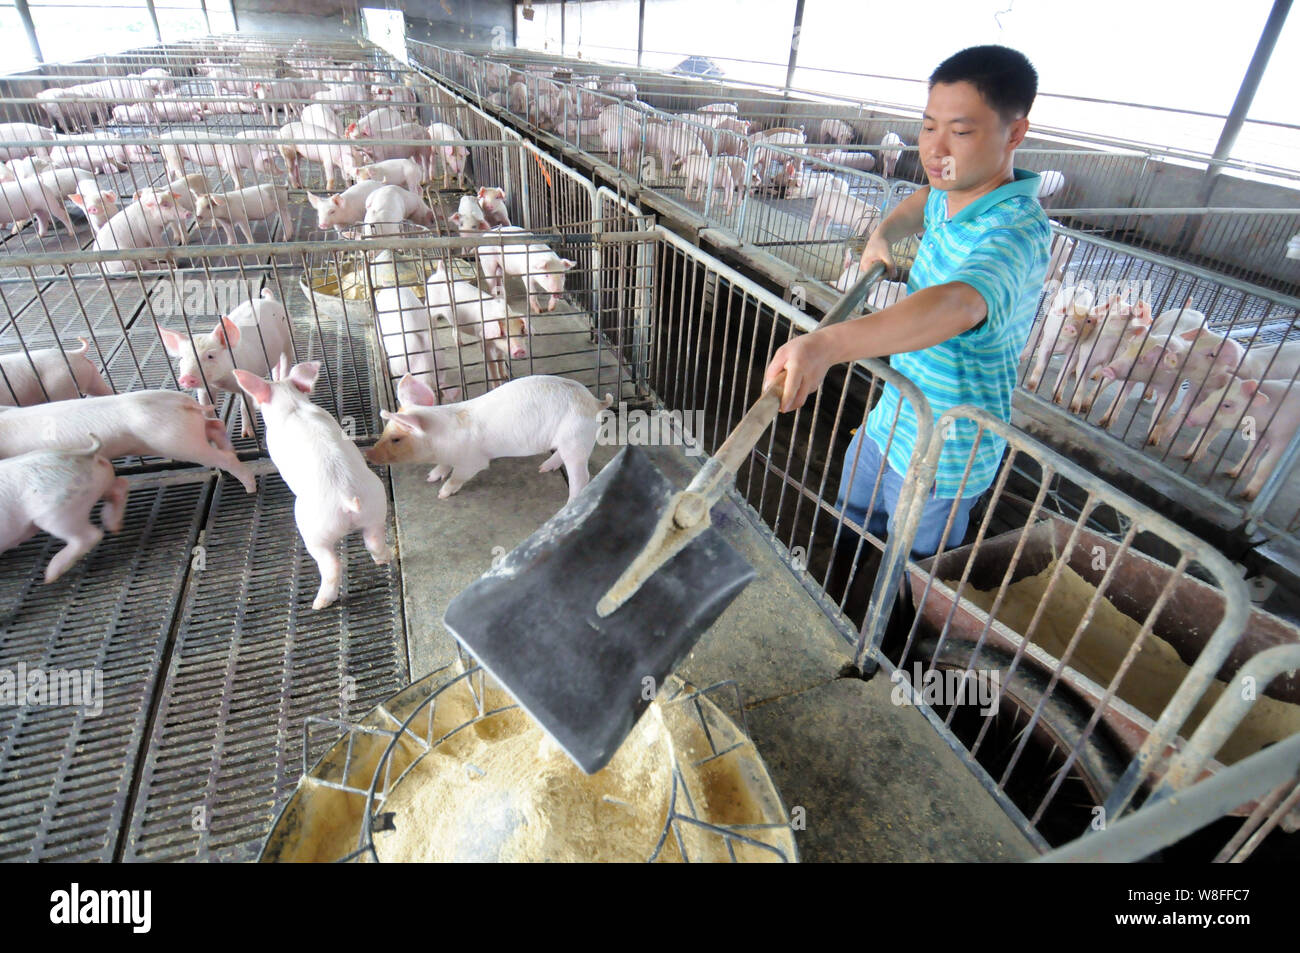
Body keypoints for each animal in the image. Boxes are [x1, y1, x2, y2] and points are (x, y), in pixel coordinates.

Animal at [0, 387, 256, 494]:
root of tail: (184, 402)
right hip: (191, 429)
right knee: (216, 426)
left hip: (178, 441)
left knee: (222, 457)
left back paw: (249, 487)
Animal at [0, 436, 129, 582]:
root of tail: (84, 454)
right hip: (100, 484)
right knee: (121, 486)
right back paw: (114, 526)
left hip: (59, 513)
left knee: (89, 536)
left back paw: (49, 576)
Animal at [235, 356, 390, 608]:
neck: (292, 405)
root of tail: (346, 497)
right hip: (375, 511)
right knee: (374, 542)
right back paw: (384, 560)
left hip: (315, 531)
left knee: (331, 565)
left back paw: (320, 603)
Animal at [366, 374, 608, 504]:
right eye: (386, 431)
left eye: (396, 439)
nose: (368, 455)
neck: (441, 440)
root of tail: (595, 402)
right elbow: (443, 466)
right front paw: (430, 477)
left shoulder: (473, 462)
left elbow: (458, 476)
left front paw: (441, 494)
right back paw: (542, 468)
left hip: (575, 438)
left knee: (582, 477)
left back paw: (568, 503)